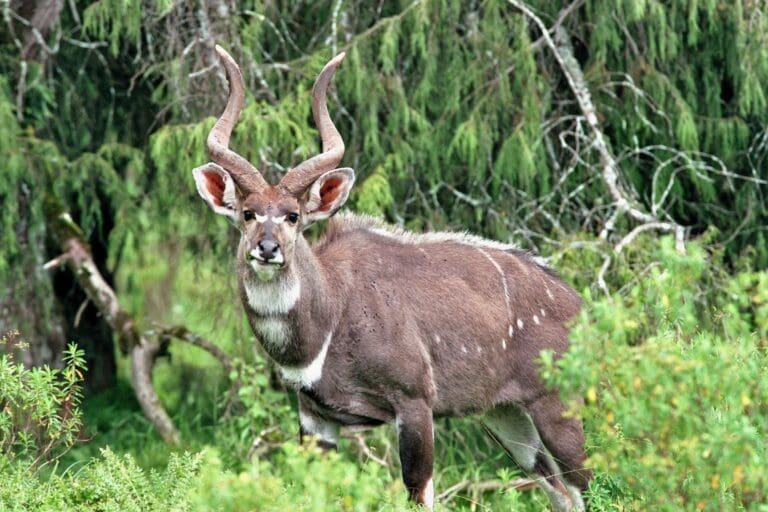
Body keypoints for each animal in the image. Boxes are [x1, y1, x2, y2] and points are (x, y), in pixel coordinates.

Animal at [193, 46, 590, 511]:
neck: (329, 318)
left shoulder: (414, 401)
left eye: (293, 216)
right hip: (504, 413)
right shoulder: (315, 416)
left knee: (589, 481)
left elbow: (418, 490)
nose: (267, 249)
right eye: (247, 213)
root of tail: (578, 303)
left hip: (556, 402)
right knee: (560, 489)